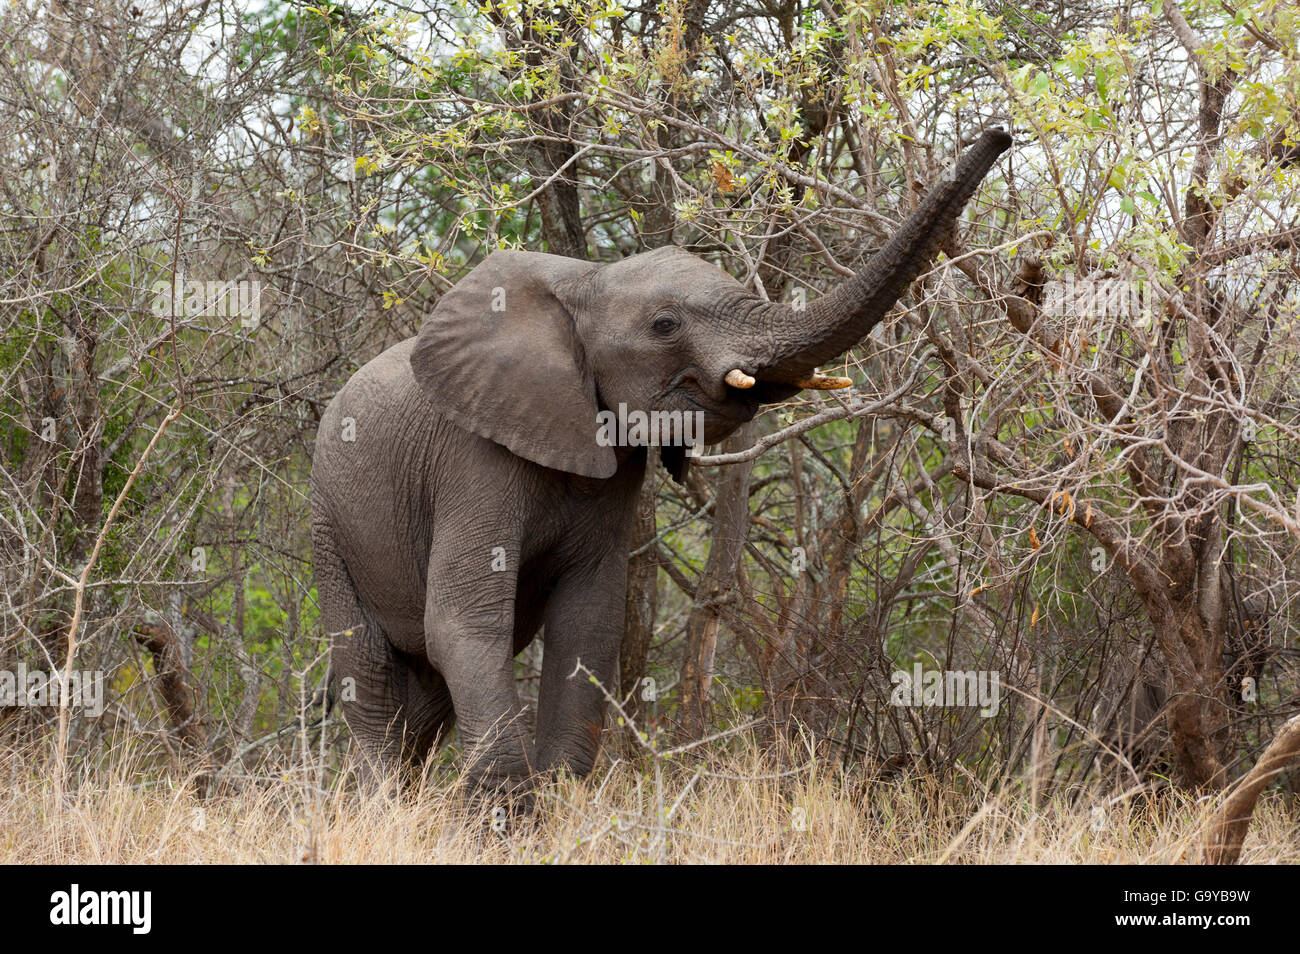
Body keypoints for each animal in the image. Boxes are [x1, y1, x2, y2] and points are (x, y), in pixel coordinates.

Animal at [310, 127, 1011, 795]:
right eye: (665, 325)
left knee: (427, 695)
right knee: (372, 673)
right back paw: (382, 800)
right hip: (328, 527)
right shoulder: (472, 457)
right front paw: (509, 811)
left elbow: (589, 625)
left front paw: (556, 803)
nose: (1001, 135)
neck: (584, 281)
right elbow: (463, 621)